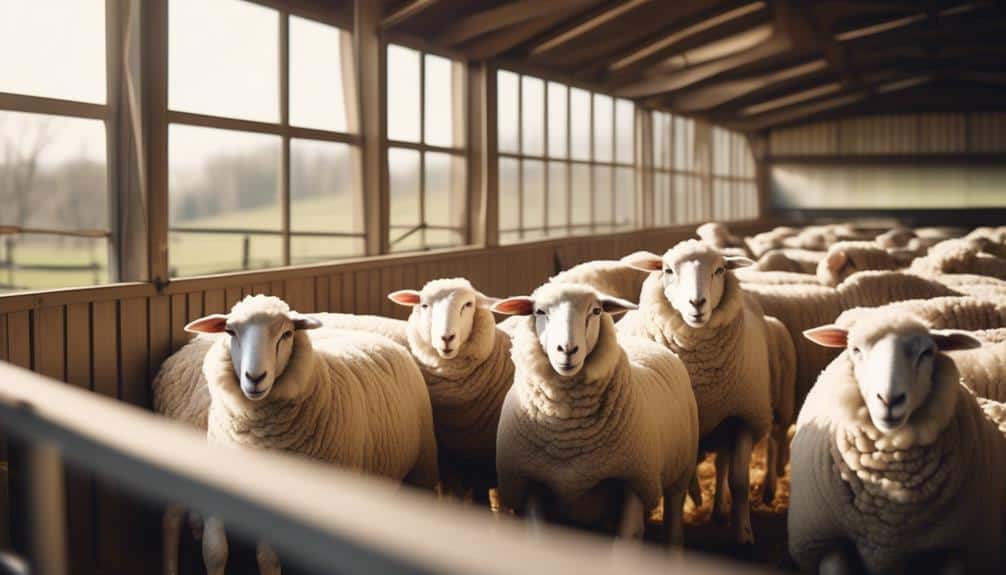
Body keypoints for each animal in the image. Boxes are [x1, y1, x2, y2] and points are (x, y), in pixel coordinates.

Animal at [153, 295, 438, 575]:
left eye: (287, 334)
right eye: (230, 331)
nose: (255, 377)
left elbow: (267, 557)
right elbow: (218, 552)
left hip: (421, 466)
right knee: (171, 519)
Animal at [491, 283, 699, 547]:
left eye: (596, 311)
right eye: (539, 311)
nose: (567, 350)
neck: (568, 439)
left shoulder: (635, 479)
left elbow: (626, 540)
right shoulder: (529, 480)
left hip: (681, 472)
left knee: (674, 518)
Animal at [618, 240, 790, 543]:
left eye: (720, 270)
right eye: (667, 270)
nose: (697, 303)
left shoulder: (742, 418)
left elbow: (740, 481)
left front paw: (744, 534)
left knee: (722, 464)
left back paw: (718, 508)